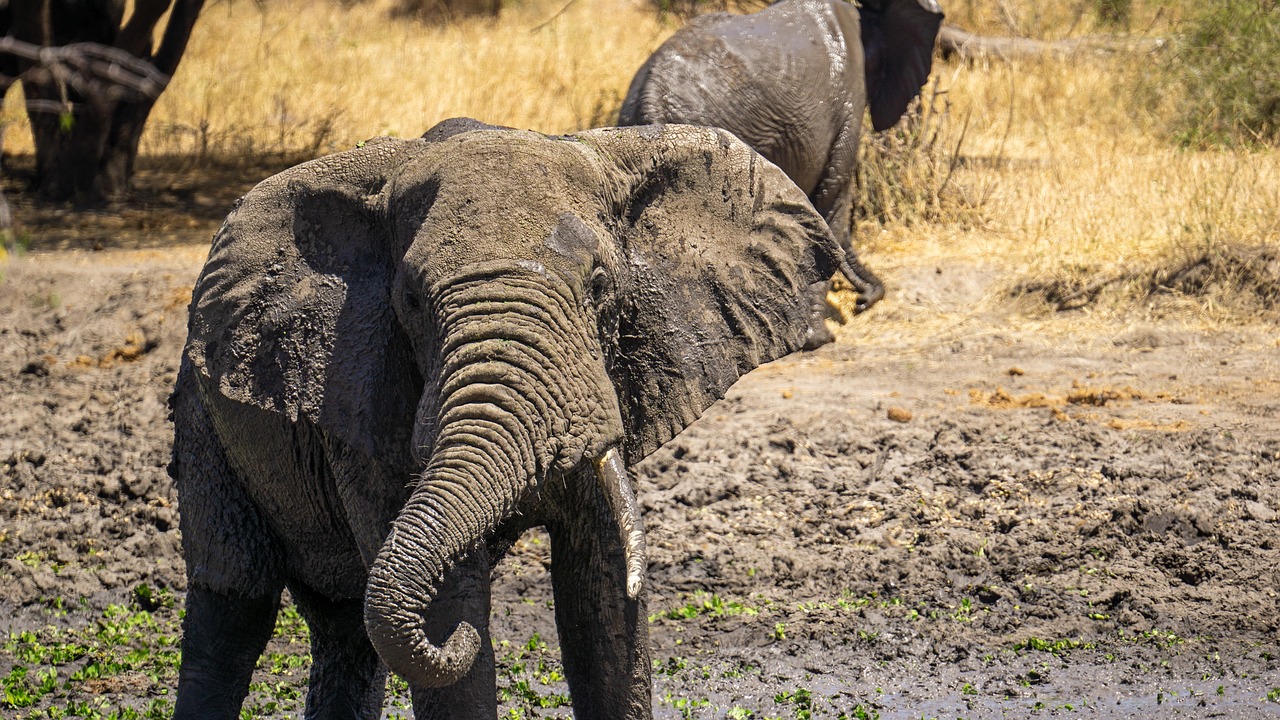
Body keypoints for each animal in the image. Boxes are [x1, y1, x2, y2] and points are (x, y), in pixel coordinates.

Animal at [168, 118, 863, 719]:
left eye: (602, 284)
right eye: (409, 300)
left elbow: (600, 594)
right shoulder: (363, 394)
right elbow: (450, 605)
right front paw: (461, 630)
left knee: (346, 630)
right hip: (201, 418)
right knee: (232, 612)